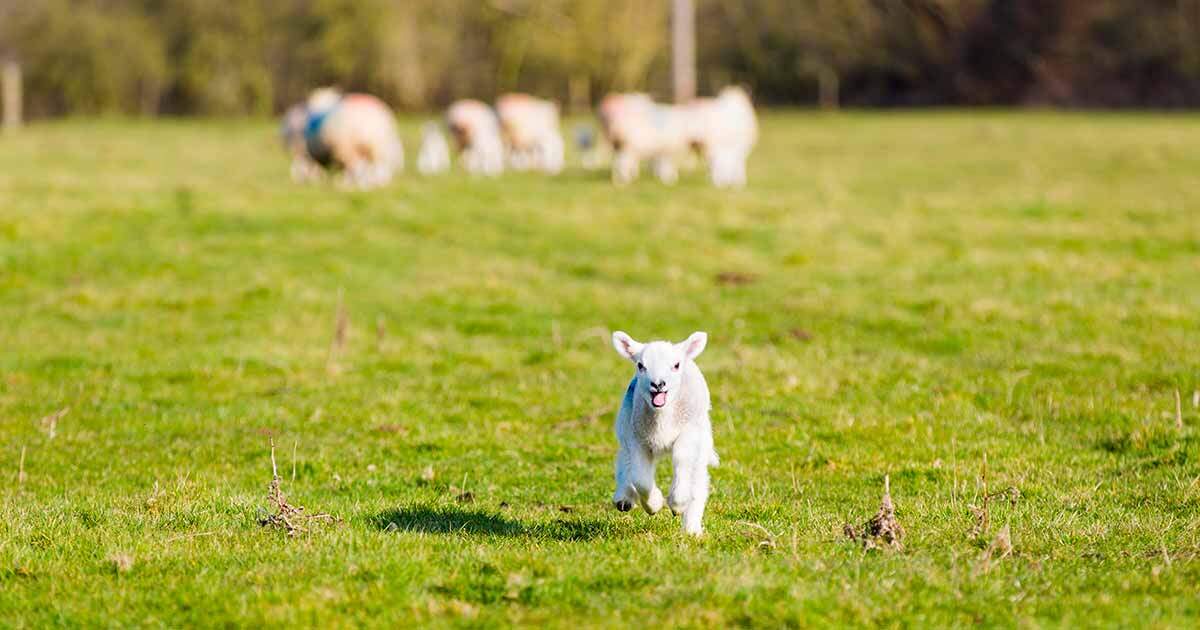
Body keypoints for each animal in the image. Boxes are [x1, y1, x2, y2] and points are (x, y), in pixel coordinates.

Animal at [610, 330, 719, 536]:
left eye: (676, 365)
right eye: (640, 365)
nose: (658, 384)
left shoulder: (688, 433)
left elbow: (682, 459)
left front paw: (677, 504)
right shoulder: (637, 439)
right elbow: (640, 479)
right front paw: (653, 505)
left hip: (702, 437)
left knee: (699, 480)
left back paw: (692, 529)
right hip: (625, 428)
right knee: (624, 461)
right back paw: (624, 498)